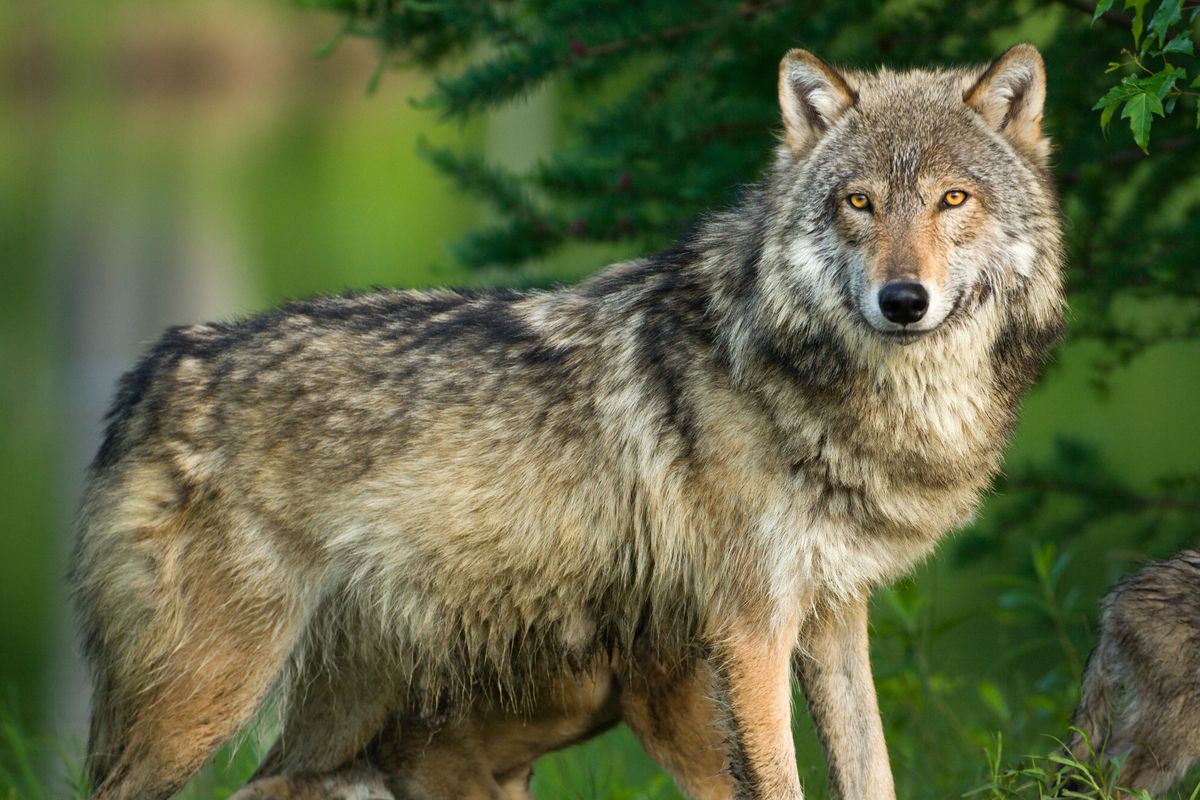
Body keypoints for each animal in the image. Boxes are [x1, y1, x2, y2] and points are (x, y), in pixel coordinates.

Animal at [71, 43, 1064, 800]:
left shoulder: (831, 616)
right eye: (859, 202)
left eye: (953, 199)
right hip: (204, 697)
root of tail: (159, 364)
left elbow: (872, 773)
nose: (904, 300)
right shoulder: (748, 631)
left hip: (339, 708)